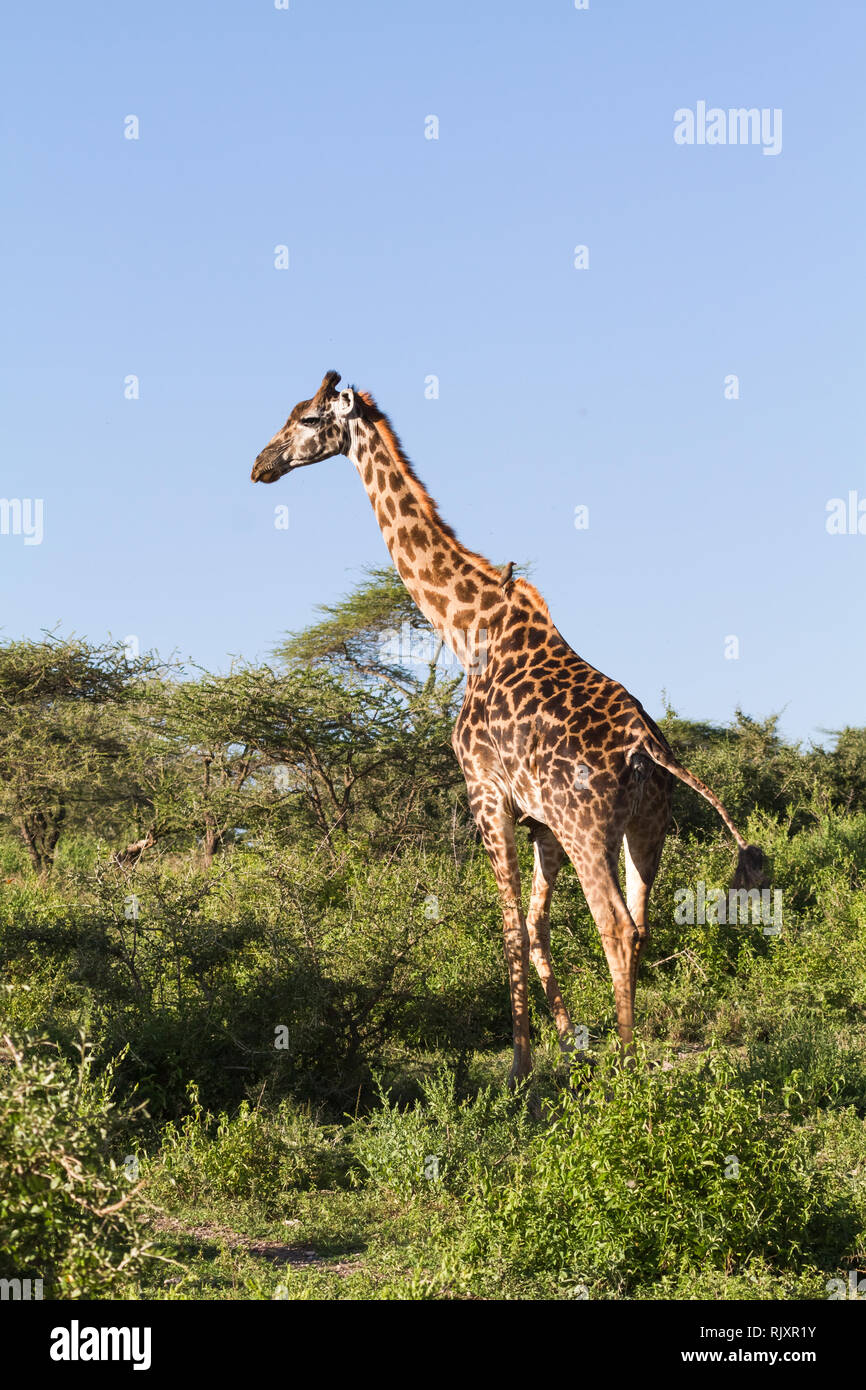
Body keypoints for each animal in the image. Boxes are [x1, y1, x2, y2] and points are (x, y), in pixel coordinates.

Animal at [251, 372, 767, 1084]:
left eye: (305, 418)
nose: (259, 466)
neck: (468, 629)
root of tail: (650, 751)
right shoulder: (539, 822)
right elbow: (537, 925)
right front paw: (568, 1044)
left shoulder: (486, 795)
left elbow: (509, 929)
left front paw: (521, 1069)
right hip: (646, 830)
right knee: (639, 925)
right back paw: (624, 1055)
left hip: (590, 830)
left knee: (613, 927)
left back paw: (628, 1074)